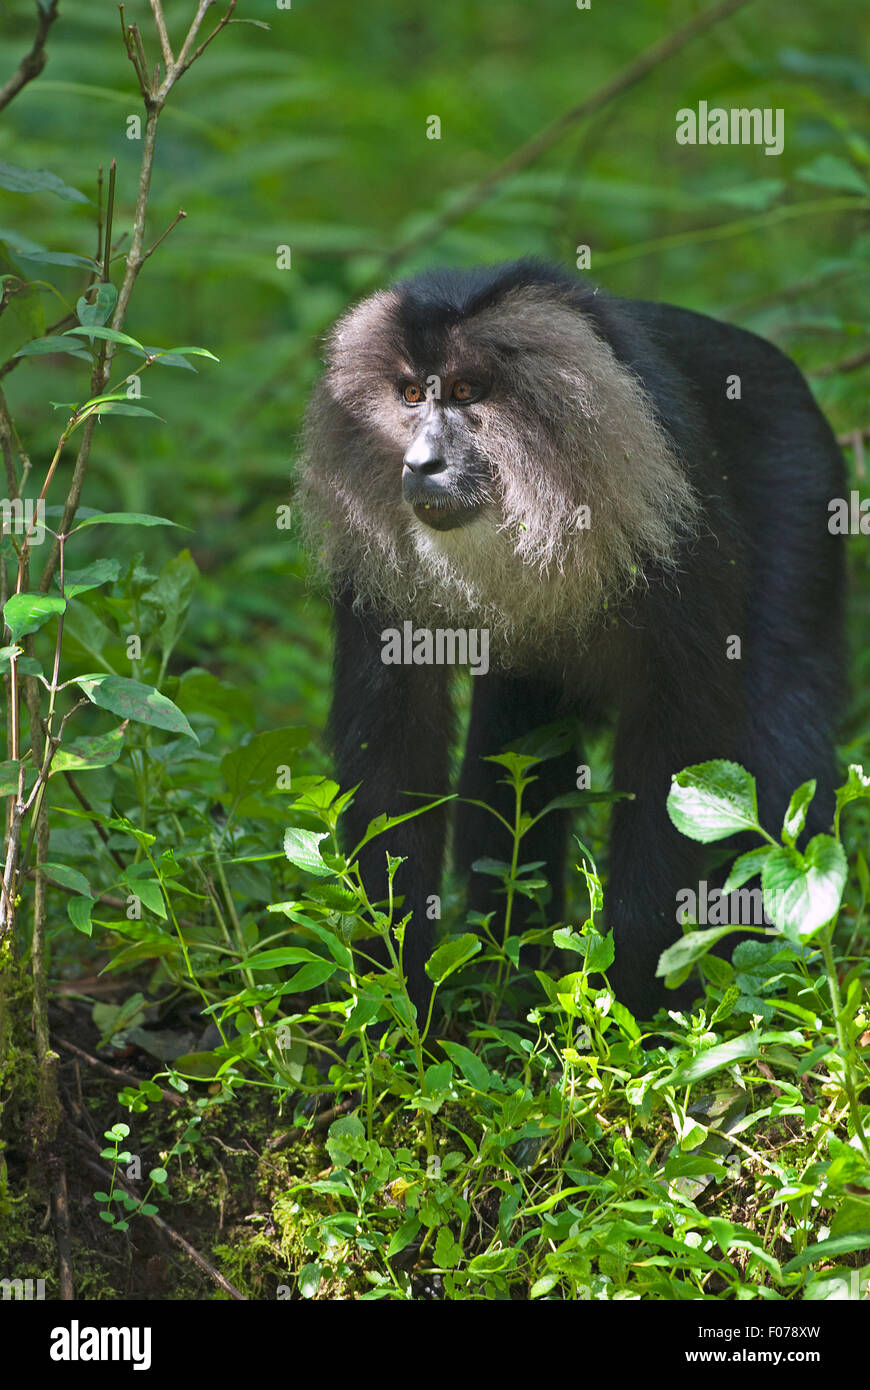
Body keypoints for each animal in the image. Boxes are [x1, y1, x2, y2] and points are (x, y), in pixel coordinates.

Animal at [297, 259, 847, 1020]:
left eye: (465, 392)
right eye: (410, 395)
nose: (421, 463)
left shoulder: (679, 517)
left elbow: (679, 751)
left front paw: (643, 1000)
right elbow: (394, 748)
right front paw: (406, 1003)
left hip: (807, 482)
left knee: (780, 713)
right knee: (517, 737)